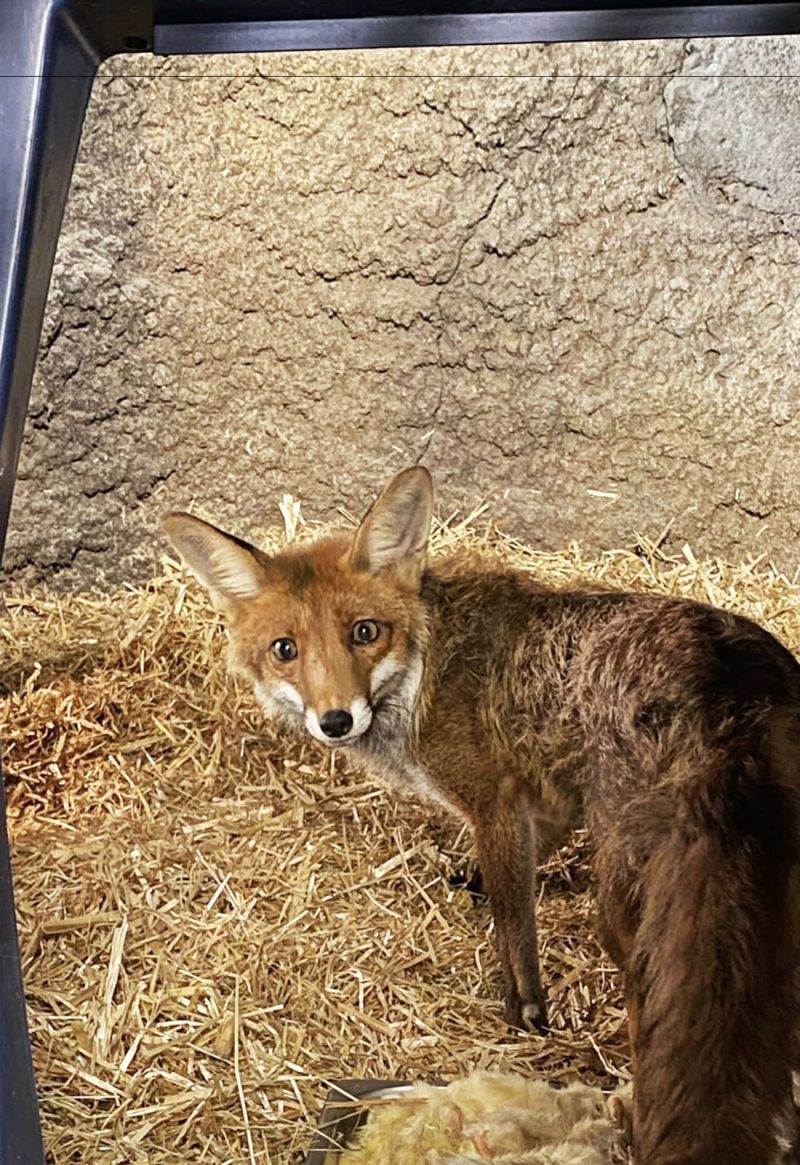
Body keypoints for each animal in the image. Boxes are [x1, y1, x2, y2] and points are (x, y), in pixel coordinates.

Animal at [162, 466, 800, 1165]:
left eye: (365, 632)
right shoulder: (546, 800)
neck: (424, 671)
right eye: (285, 649)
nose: (335, 720)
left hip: (629, 910)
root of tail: (724, 675)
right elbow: (521, 867)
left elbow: (512, 923)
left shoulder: (494, 803)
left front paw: (524, 1013)